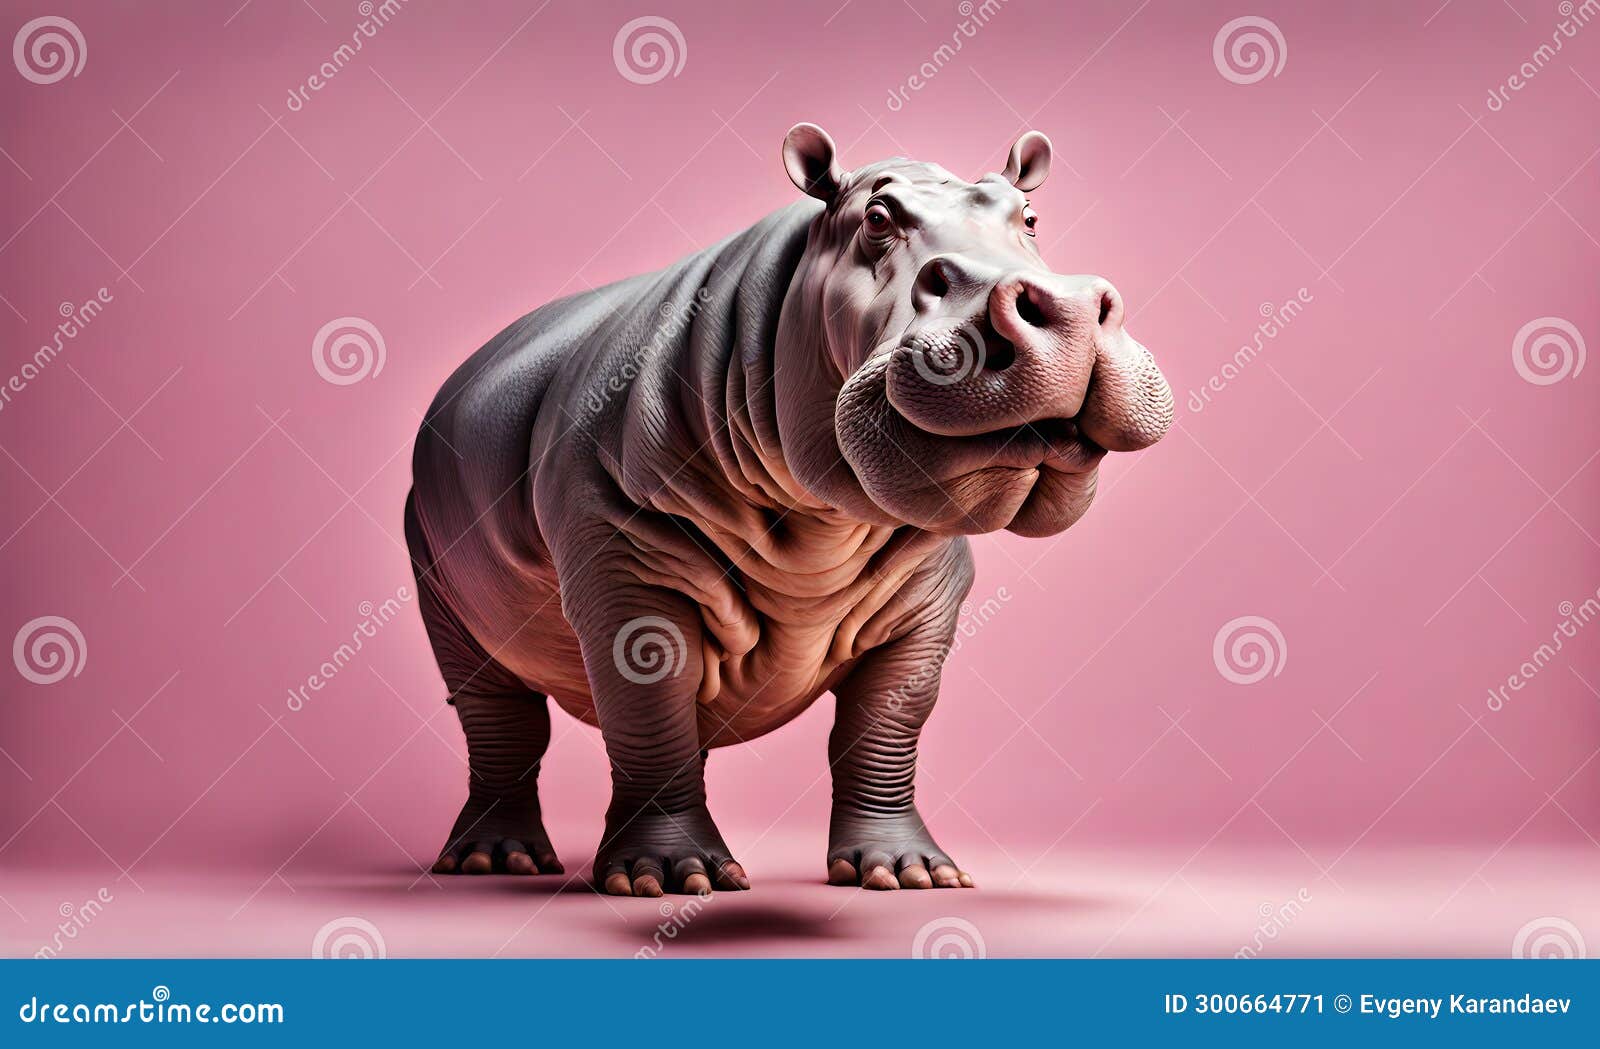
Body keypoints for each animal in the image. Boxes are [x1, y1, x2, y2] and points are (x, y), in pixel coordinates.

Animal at [405, 123, 1172, 896]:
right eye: (877, 219)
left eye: (1030, 216)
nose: (1066, 307)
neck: (822, 521)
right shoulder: (622, 569)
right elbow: (645, 707)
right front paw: (669, 877)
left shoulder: (927, 602)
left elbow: (886, 724)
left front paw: (908, 874)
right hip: (430, 557)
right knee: (499, 709)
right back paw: (494, 862)